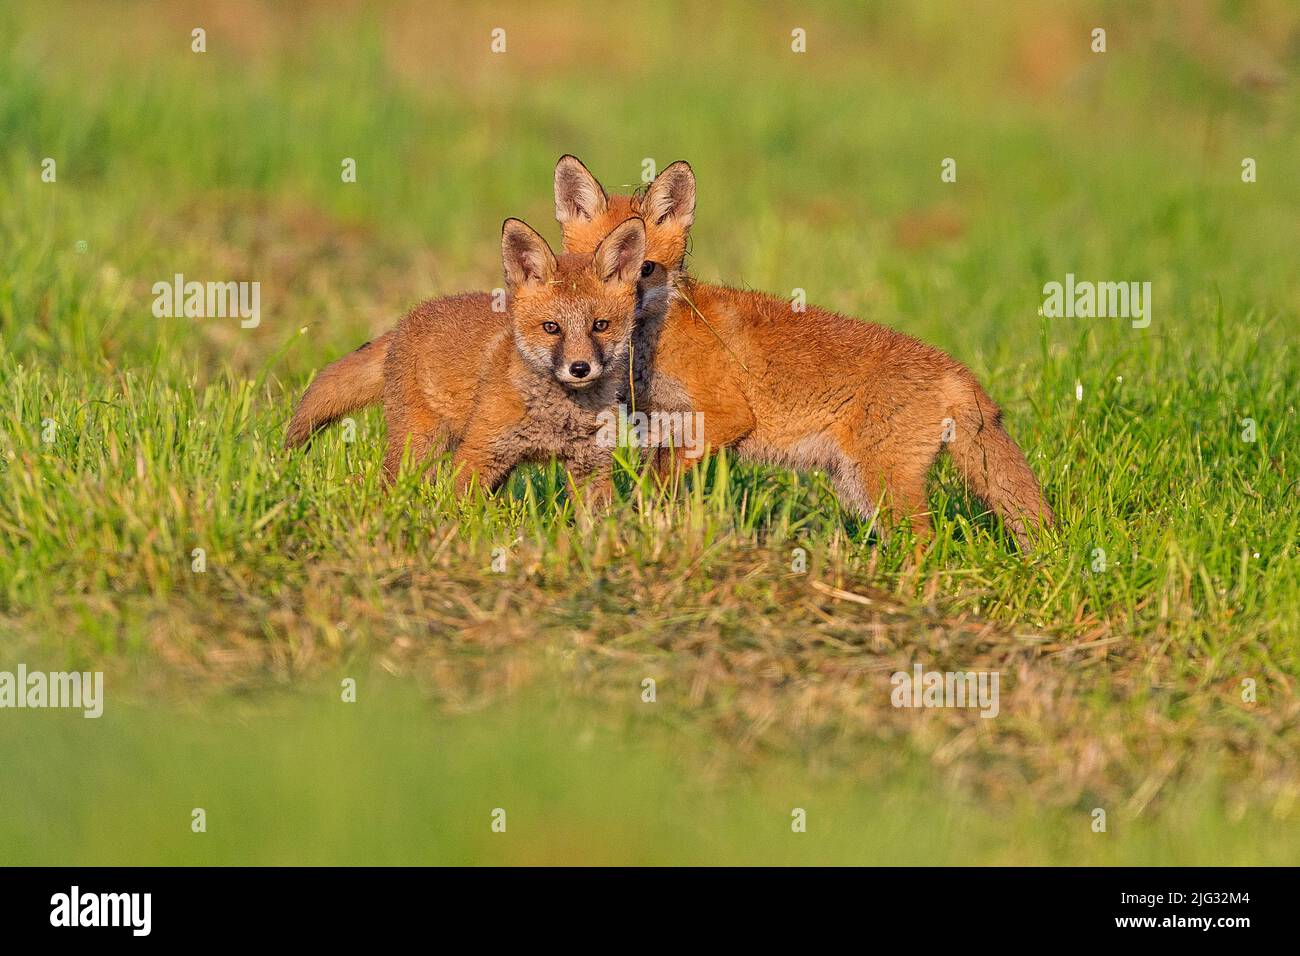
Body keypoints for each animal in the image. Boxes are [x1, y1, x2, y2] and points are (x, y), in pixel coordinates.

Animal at [378, 215, 647, 496]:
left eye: (600, 325)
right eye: (551, 327)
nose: (580, 368)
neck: (556, 419)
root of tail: (408, 316)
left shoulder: (591, 463)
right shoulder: (478, 452)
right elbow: (462, 505)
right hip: (418, 448)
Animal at [553, 157, 1054, 549]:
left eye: (646, 268)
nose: (616, 314)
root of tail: (956, 369)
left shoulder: (726, 418)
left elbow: (663, 482)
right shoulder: (657, 424)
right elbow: (652, 490)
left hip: (881, 481)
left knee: (927, 543)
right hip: (858, 486)